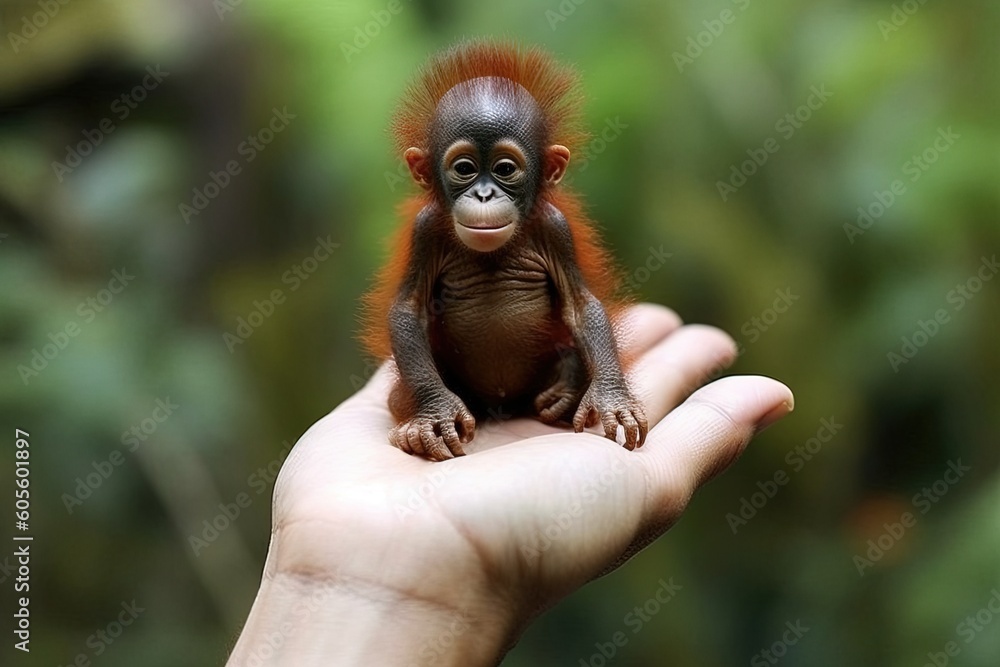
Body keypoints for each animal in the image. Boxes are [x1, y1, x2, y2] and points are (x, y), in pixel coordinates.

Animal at [362, 40, 647, 461]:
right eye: (464, 168)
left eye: (505, 169)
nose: (484, 194)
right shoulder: (424, 229)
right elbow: (408, 309)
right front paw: (434, 416)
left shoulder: (556, 228)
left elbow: (581, 306)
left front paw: (613, 398)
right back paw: (412, 430)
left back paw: (566, 388)